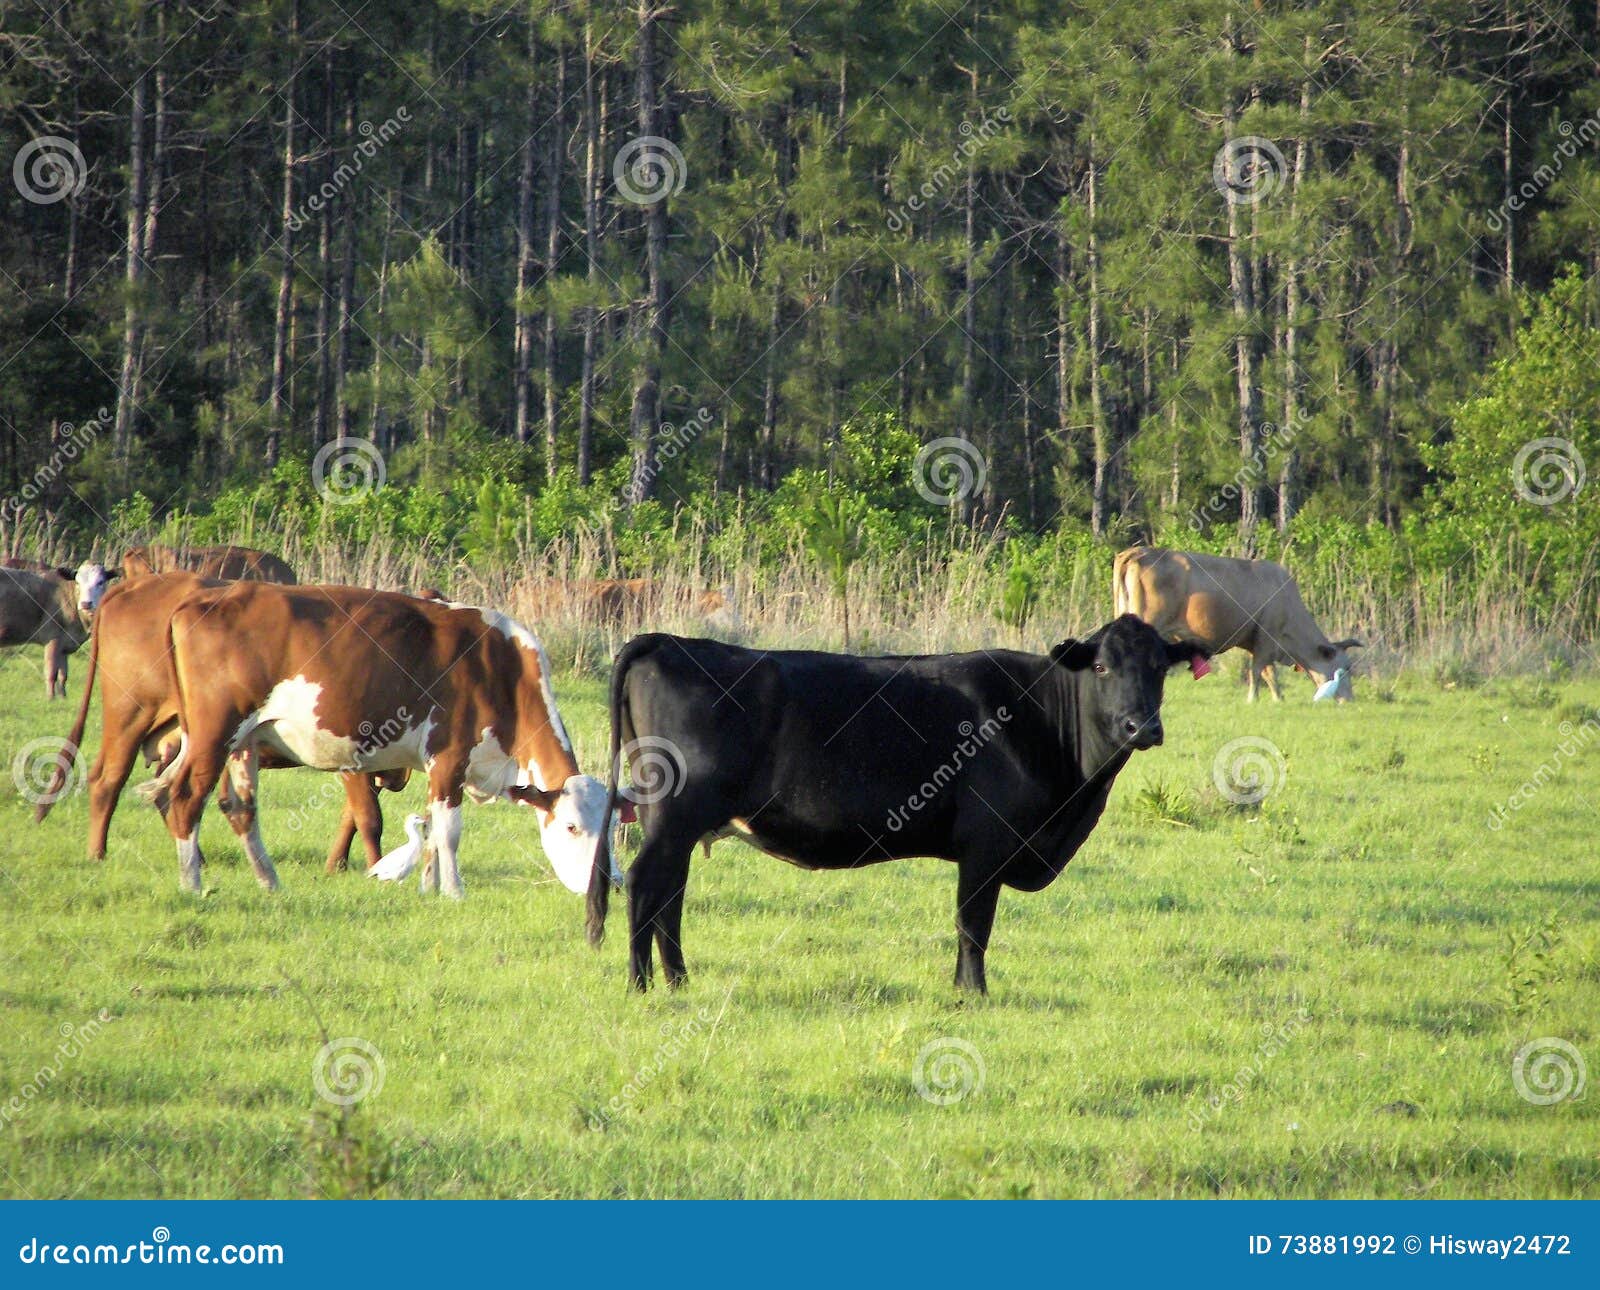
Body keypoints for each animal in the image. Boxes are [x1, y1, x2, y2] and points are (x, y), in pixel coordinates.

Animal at [0, 563, 115, 698]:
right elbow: (51, 672)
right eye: (77, 582)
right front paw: (50, 698)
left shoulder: (64, 644)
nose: (86, 603)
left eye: (100, 582)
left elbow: (63, 675)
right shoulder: (52, 638)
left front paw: (63, 697)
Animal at [33, 572, 402, 873]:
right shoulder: (354, 754)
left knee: (164, 793)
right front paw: (375, 867)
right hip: (131, 717)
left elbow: (351, 816)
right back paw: (98, 854)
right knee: (109, 780)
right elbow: (368, 816)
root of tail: (134, 586)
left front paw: (338, 865)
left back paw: (194, 857)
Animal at [136, 582, 613, 895]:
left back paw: (269, 881)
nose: (599, 885)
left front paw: (426, 887)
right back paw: (192, 885)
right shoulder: (449, 756)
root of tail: (202, 599)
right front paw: (453, 892)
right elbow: (449, 832)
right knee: (185, 797)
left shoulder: (439, 768)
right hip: (216, 732)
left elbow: (431, 829)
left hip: (239, 741)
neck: (502, 667)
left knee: (235, 807)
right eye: (571, 826)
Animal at [587, 616, 1209, 994]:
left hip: (680, 822)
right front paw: (973, 993)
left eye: (1160, 668)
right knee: (644, 883)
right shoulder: (986, 843)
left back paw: (678, 981)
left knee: (670, 894)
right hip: (675, 814)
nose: (1141, 726)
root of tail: (669, 640)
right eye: (1102, 666)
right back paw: (641, 985)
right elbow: (973, 923)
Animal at [1114, 547, 1362, 701]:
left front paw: (1278, 698)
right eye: (1346, 668)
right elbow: (1258, 670)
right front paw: (1254, 698)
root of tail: (1137, 551)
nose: (1349, 700)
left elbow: (1268, 672)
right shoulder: (1266, 636)